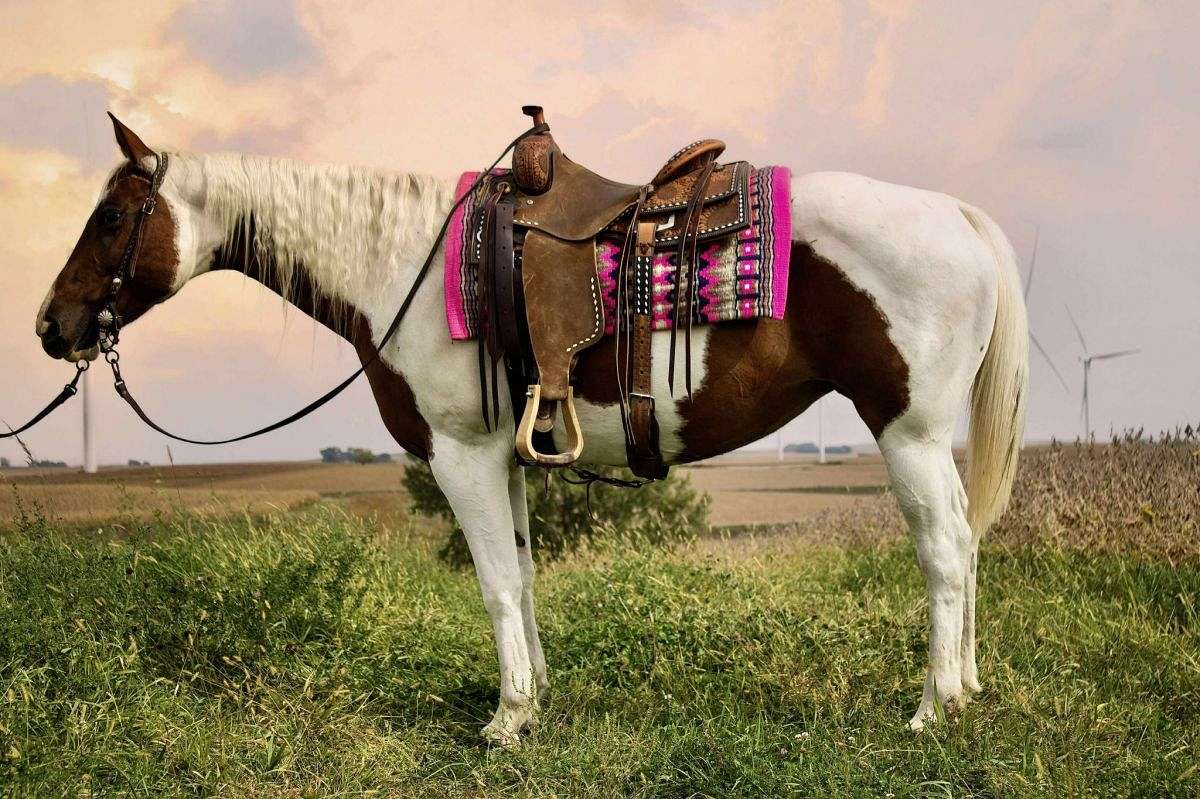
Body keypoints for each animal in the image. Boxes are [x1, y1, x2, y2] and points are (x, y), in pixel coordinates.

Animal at [36, 115, 1027, 744]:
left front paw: (507, 719)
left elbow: (496, 584)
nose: (52, 325)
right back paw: (969, 689)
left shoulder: (462, 455)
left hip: (907, 431)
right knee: (968, 545)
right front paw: (537, 695)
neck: (403, 264)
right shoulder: (503, 456)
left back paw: (934, 706)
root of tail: (961, 216)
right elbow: (523, 573)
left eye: (113, 215)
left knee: (945, 554)